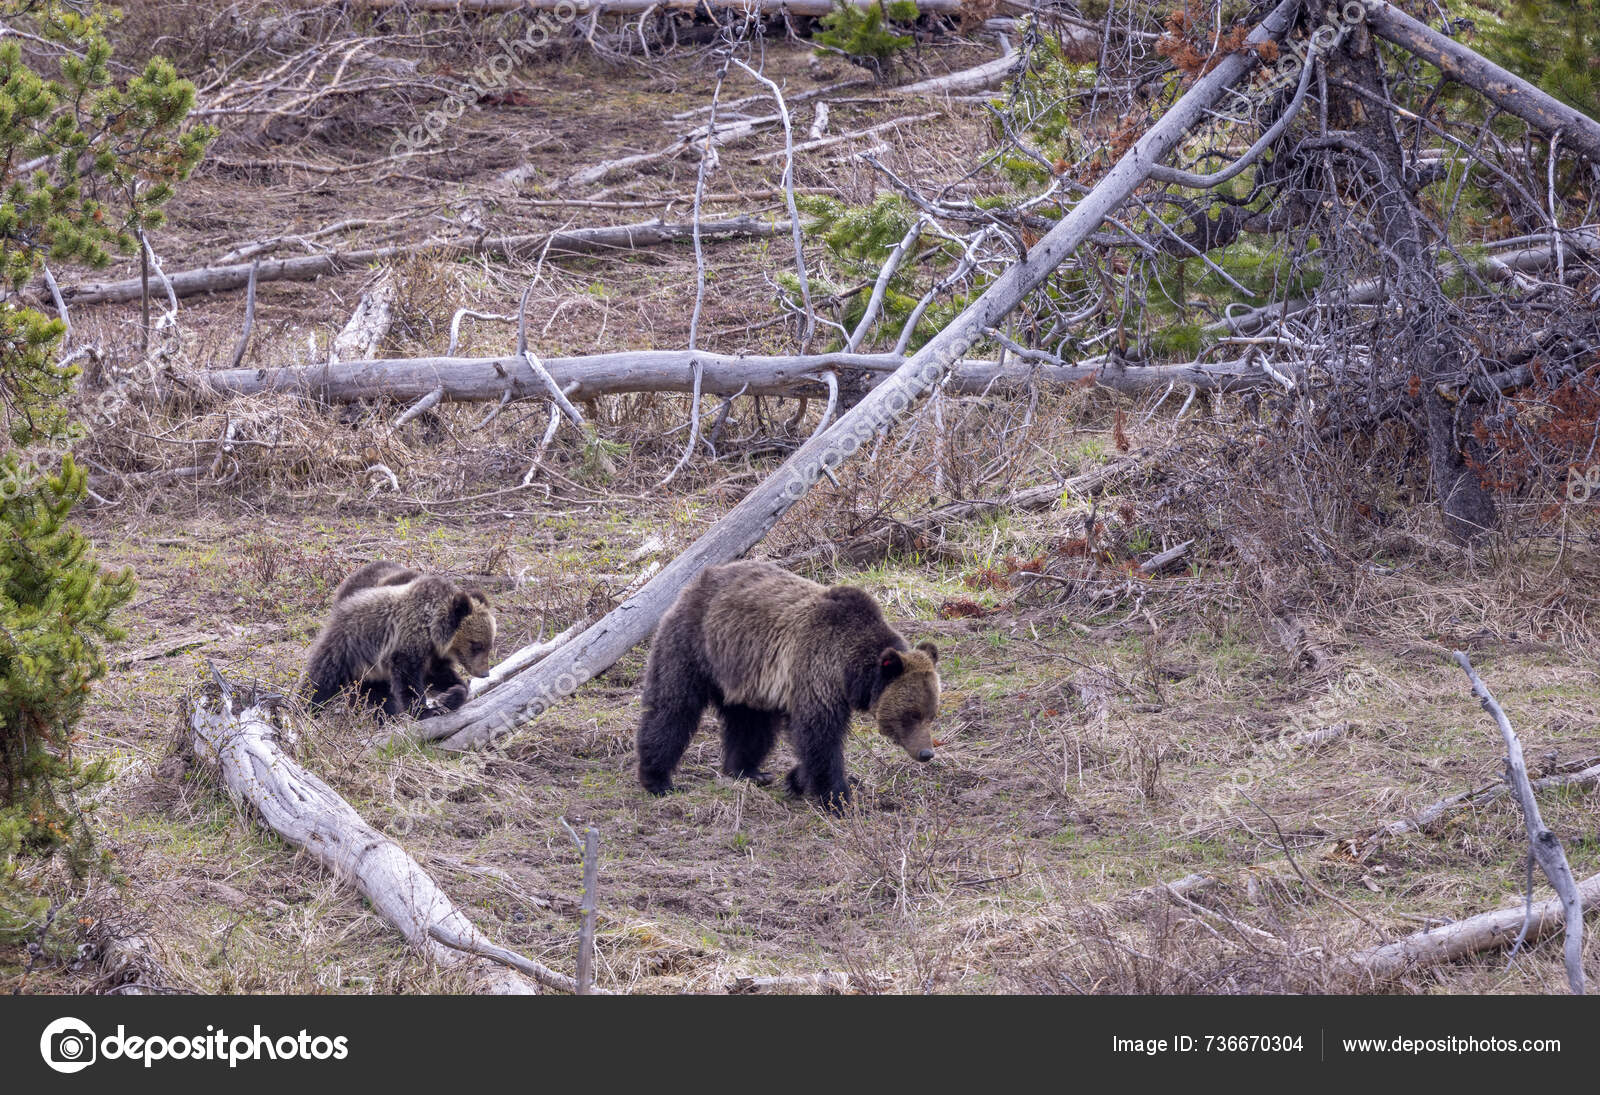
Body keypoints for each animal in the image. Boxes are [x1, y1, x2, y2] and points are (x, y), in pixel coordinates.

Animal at [300, 567, 496, 718]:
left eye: (489, 644)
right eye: (476, 644)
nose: (485, 673)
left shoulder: (434, 658)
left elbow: (441, 677)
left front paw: (450, 695)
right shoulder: (406, 643)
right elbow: (408, 681)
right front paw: (425, 711)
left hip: (370, 669)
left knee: (374, 692)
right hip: (348, 647)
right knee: (321, 679)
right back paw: (303, 709)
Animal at [635, 560, 940, 811]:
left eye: (931, 715)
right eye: (910, 715)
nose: (926, 753)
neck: (849, 669)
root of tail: (698, 579)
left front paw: (797, 780)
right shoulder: (816, 671)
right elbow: (819, 738)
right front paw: (838, 798)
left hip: (747, 675)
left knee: (750, 726)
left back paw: (749, 771)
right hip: (694, 645)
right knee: (673, 708)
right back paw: (659, 779)